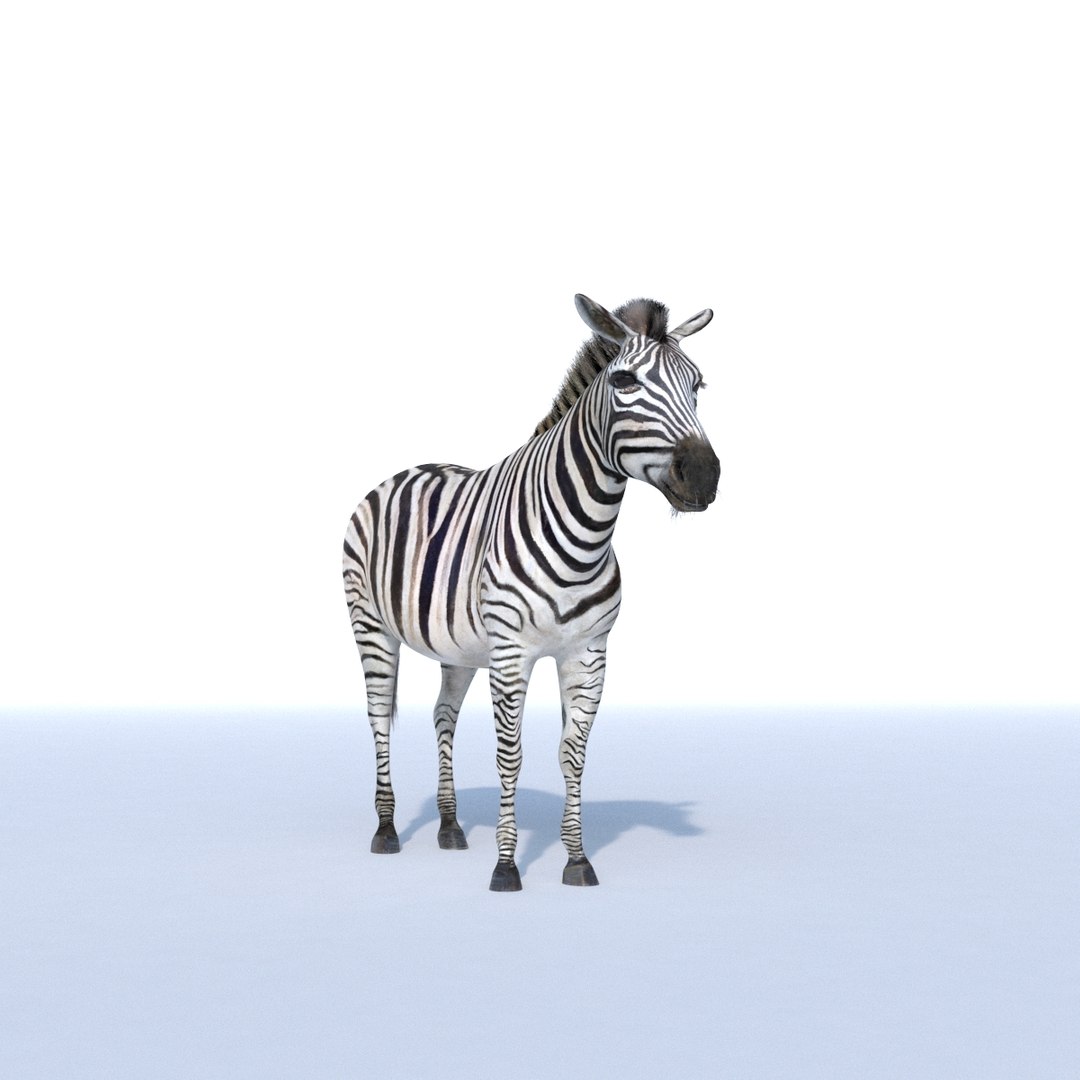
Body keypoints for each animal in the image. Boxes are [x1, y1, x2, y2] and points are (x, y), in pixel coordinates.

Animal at [343, 294, 720, 891]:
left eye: (698, 384)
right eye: (625, 381)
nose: (704, 476)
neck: (585, 533)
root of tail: (400, 472)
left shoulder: (588, 654)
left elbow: (572, 756)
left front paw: (577, 860)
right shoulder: (511, 654)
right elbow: (511, 757)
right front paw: (506, 866)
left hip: (458, 647)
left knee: (442, 714)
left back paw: (450, 826)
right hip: (371, 627)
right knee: (380, 716)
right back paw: (386, 830)